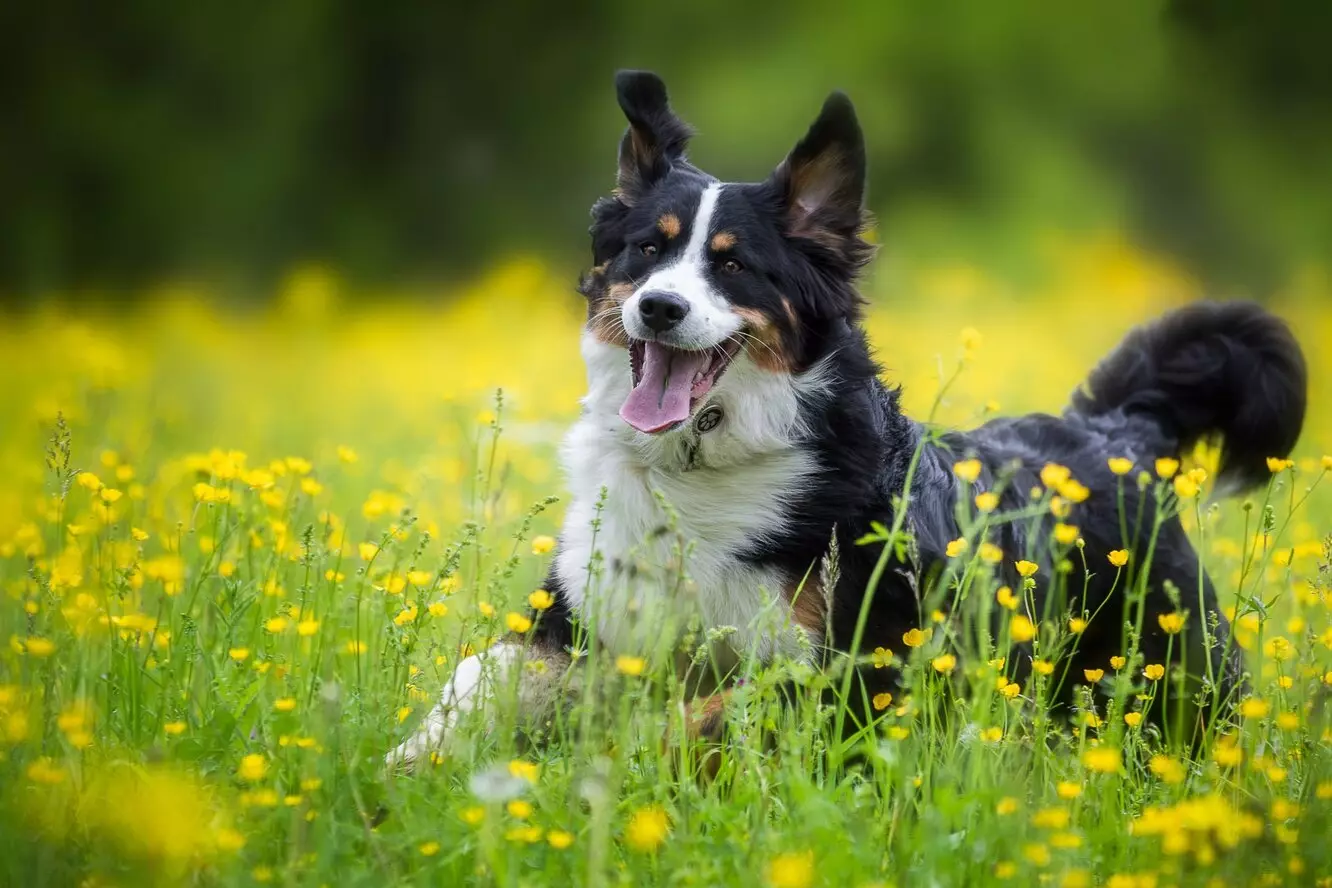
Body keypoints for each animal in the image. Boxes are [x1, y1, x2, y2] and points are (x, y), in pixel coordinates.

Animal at [388, 72, 1305, 766]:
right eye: (648, 250)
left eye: (734, 267)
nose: (658, 308)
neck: (703, 468)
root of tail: (1116, 430)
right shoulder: (583, 615)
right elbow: (484, 673)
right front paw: (409, 765)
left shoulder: (861, 665)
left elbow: (712, 710)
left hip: (1175, 674)